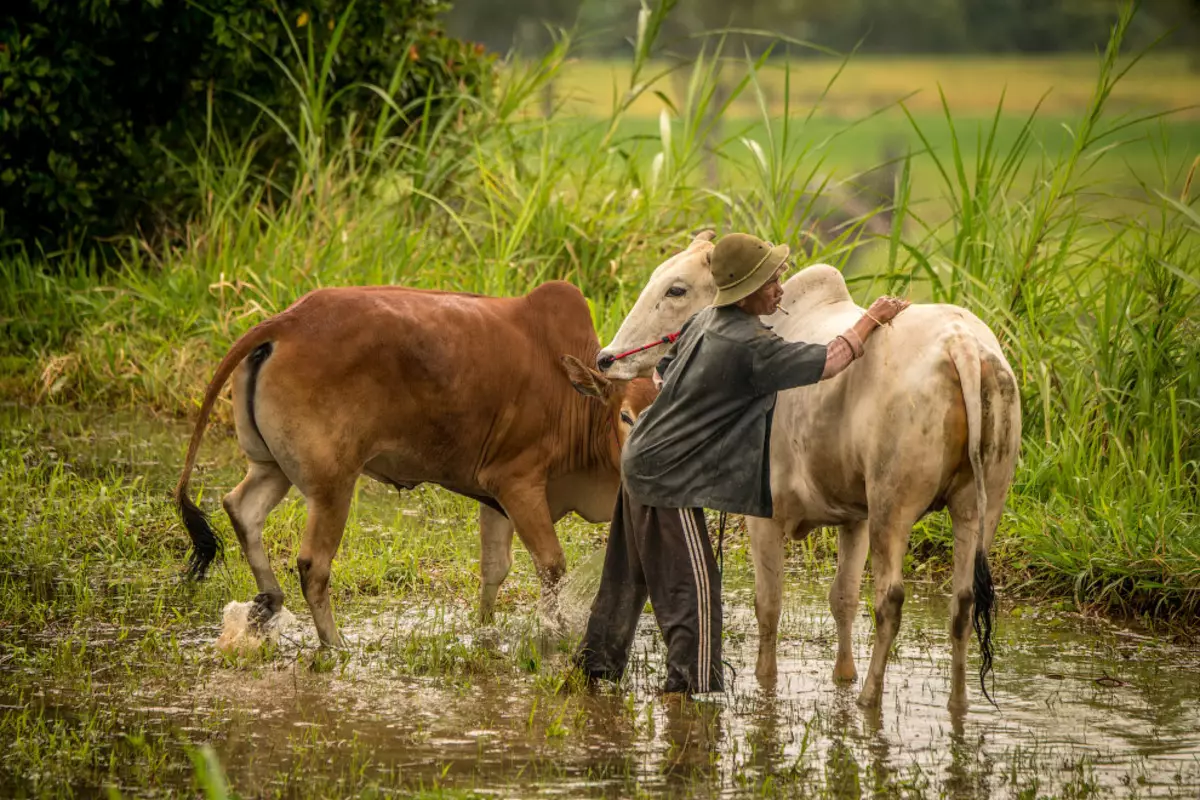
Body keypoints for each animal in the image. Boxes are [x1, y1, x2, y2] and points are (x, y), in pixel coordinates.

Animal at [172, 280, 657, 642]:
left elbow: (494, 570)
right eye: (626, 416)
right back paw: (336, 646)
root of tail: (286, 321)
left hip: (272, 467)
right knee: (313, 564)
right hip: (333, 483)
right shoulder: (518, 482)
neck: (576, 401)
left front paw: (484, 630)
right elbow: (552, 566)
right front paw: (553, 632)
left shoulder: (495, 494)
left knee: (242, 508)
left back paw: (270, 602)